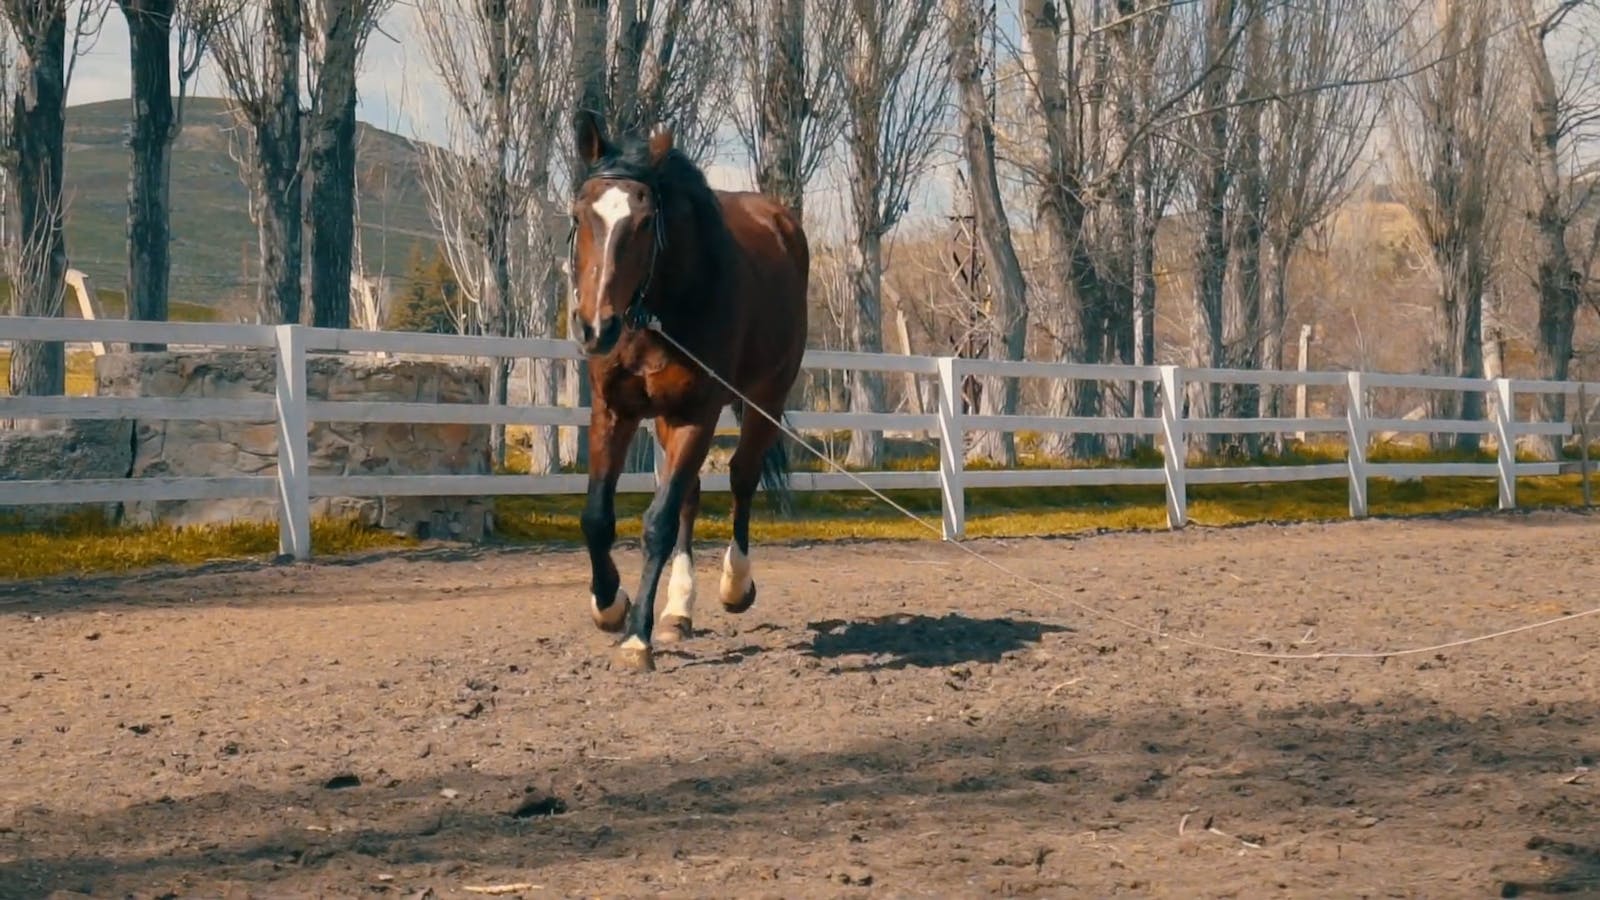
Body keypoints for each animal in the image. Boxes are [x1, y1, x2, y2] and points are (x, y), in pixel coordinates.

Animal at [567, 110, 810, 673]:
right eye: (580, 214)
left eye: (642, 222)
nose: (596, 327)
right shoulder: (614, 411)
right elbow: (597, 518)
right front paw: (609, 605)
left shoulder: (697, 415)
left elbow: (656, 522)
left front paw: (636, 637)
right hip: (664, 417)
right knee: (692, 495)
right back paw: (678, 610)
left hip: (764, 398)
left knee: (741, 477)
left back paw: (735, 585)